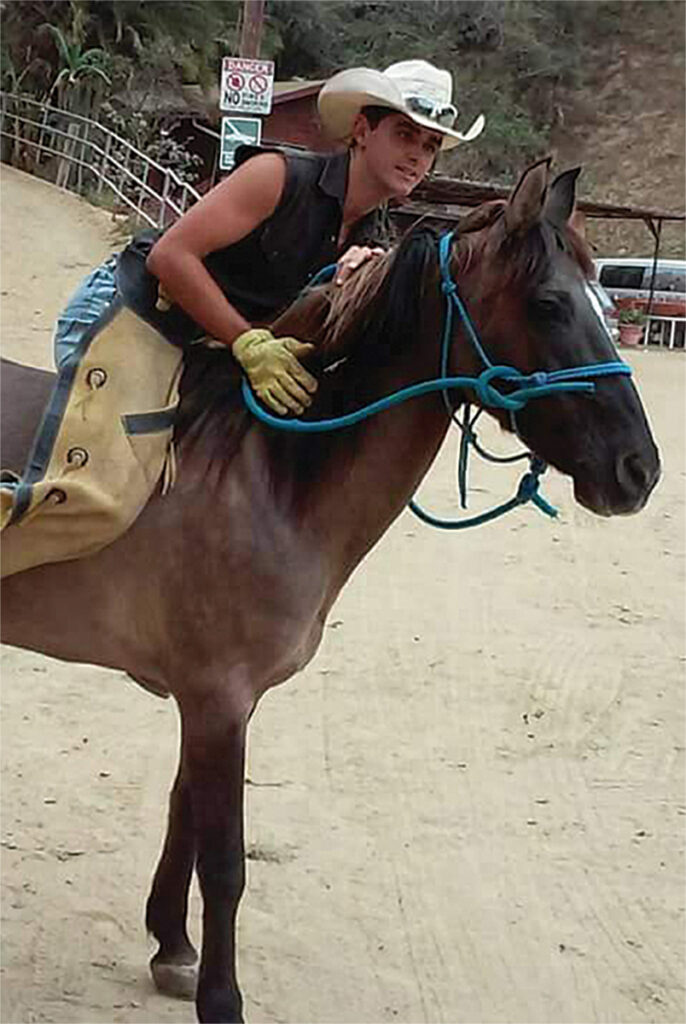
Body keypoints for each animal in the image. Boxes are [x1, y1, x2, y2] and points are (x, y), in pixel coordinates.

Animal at [0, 158, 660, 1023]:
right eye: (549, 305)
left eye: (609, 308)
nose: (639, 470)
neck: (274, 479)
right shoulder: (218, 700)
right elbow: (226, 863)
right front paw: (221, 997)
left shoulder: (215, 703)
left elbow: (184, 814)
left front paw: (171, 945)